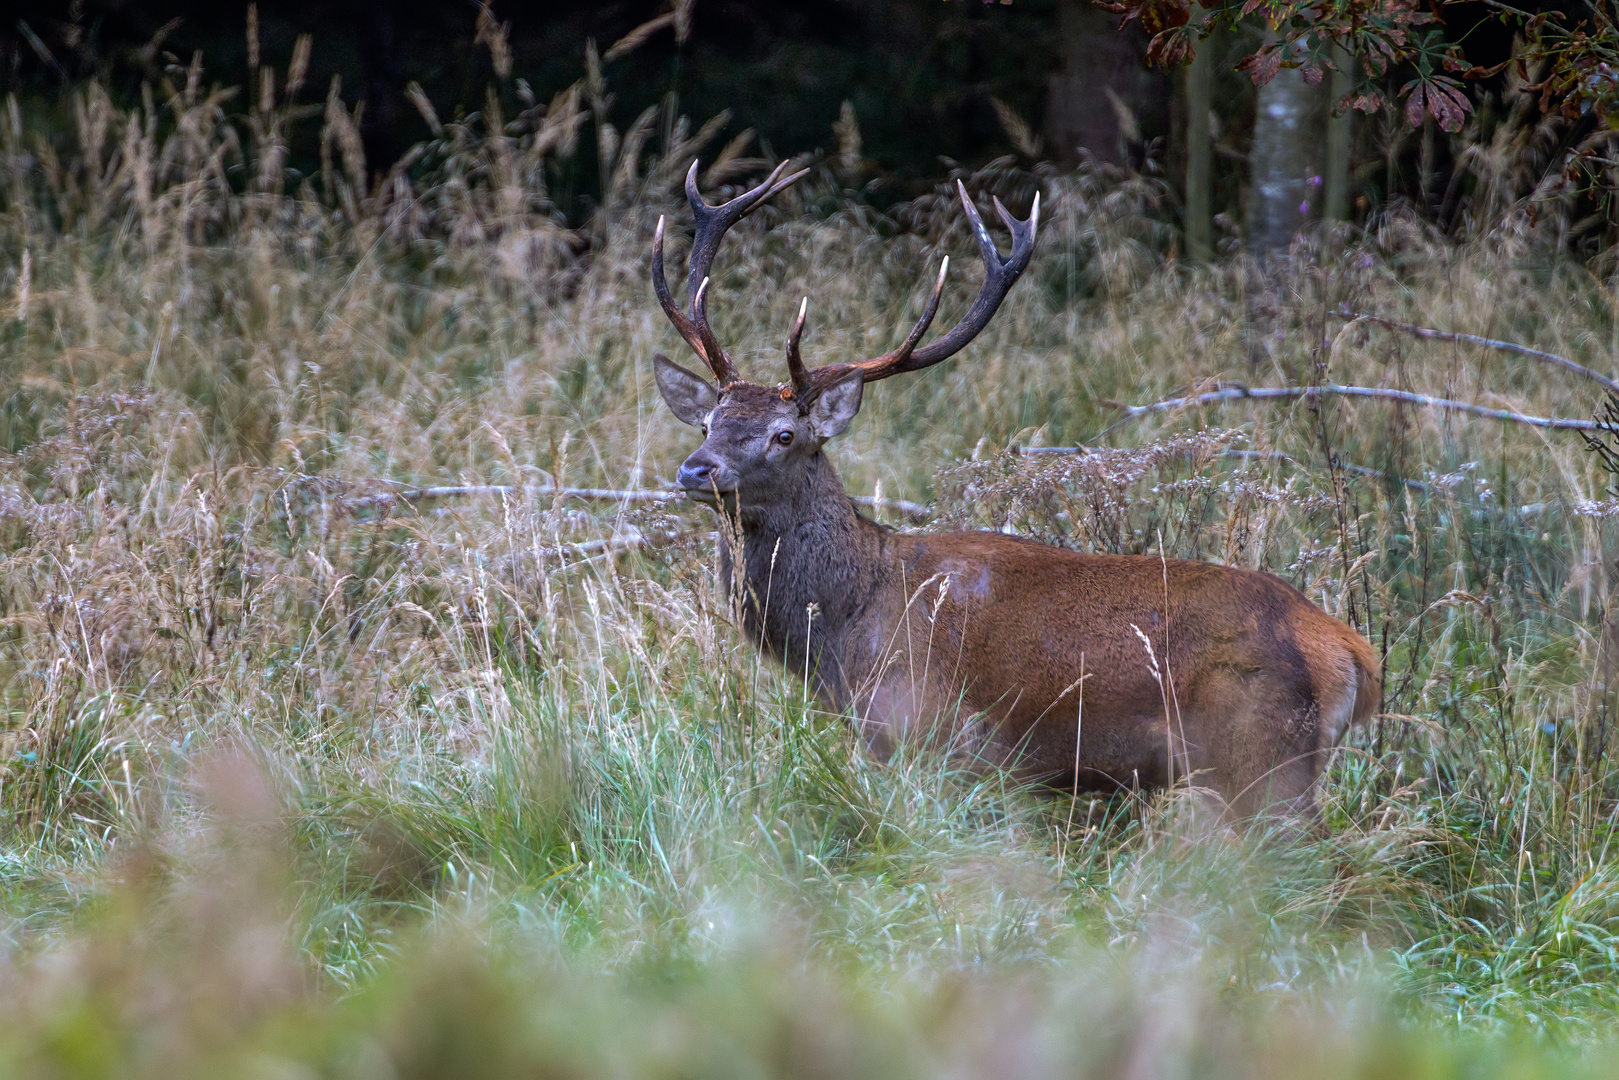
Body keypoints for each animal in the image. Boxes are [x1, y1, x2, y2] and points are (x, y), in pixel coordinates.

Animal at [649, 160, 1380, 820]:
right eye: (711, 422)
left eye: (783, 435)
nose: (695, 469)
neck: (847, 629)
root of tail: (1349, 651)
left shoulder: (941, 742)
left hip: (1260, 757)